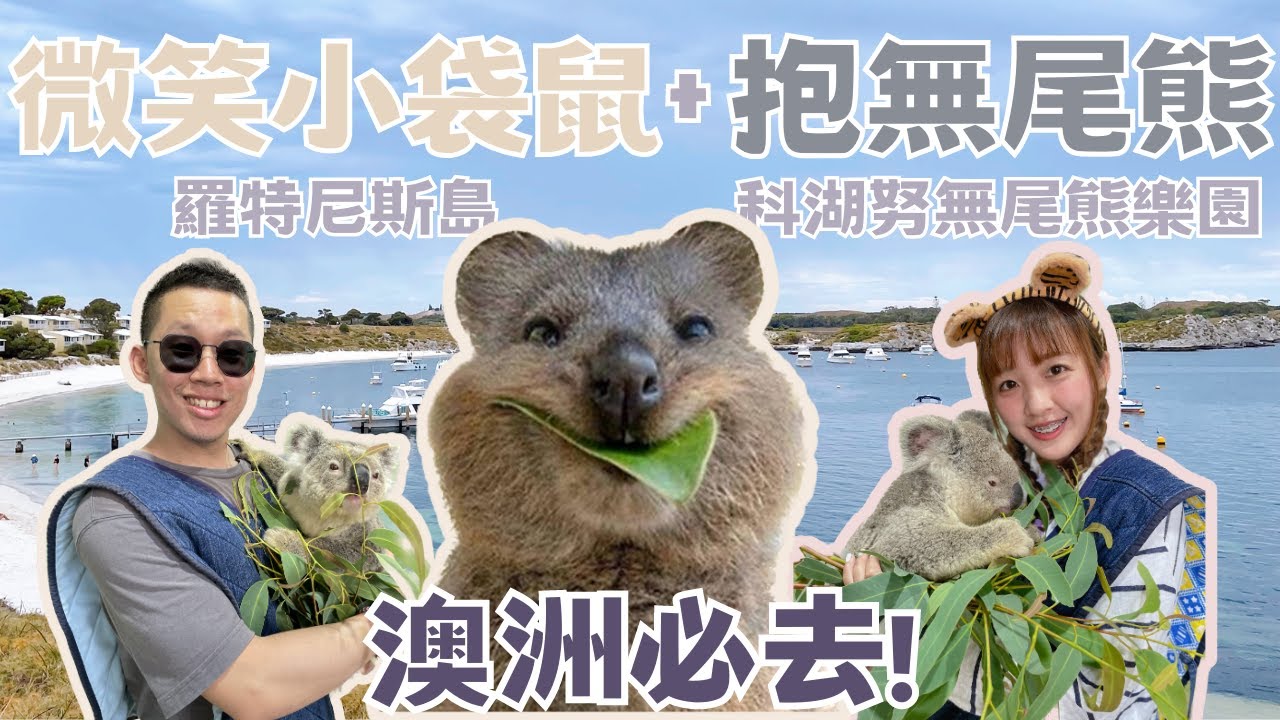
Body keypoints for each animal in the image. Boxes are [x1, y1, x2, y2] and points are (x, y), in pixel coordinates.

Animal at [844, 410, 1039, 582]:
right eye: (992, 482)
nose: (1017, 500)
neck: (941, 495)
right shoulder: (907, 520)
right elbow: (919, 545)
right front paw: (1014, 535)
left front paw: (1033, 531)